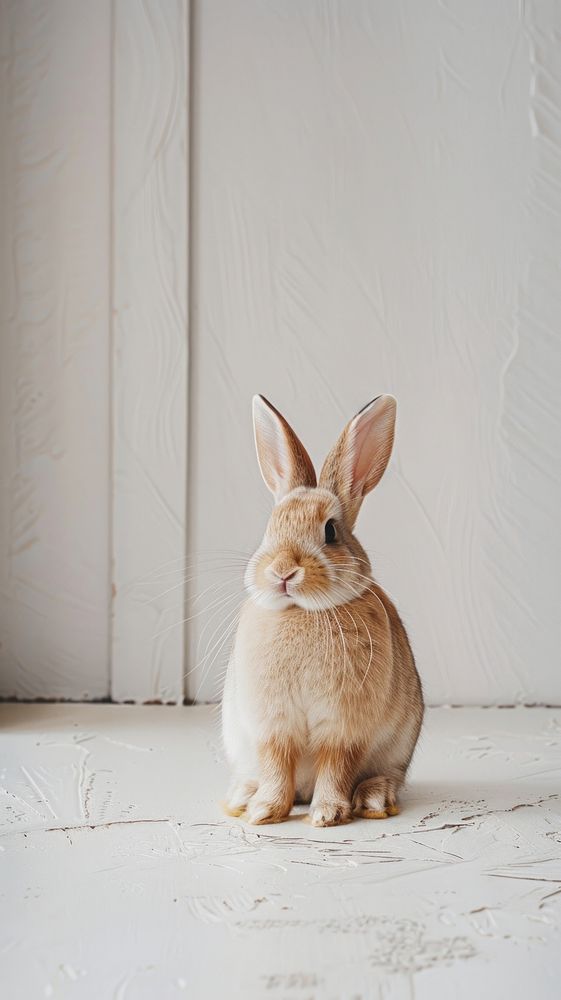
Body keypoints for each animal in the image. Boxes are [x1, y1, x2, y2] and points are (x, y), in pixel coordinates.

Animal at [222, 394, 424, 827]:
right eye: (270, 528)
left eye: (330, 531)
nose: (282, 571)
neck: (303, 611)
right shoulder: (273, 726)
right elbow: (276, 766)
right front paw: (264, 812)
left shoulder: (343, 728)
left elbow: (336, 767)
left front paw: (327, 814)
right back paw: (242, 797)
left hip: (396, 753)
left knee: (383, 776)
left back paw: (374, 801)